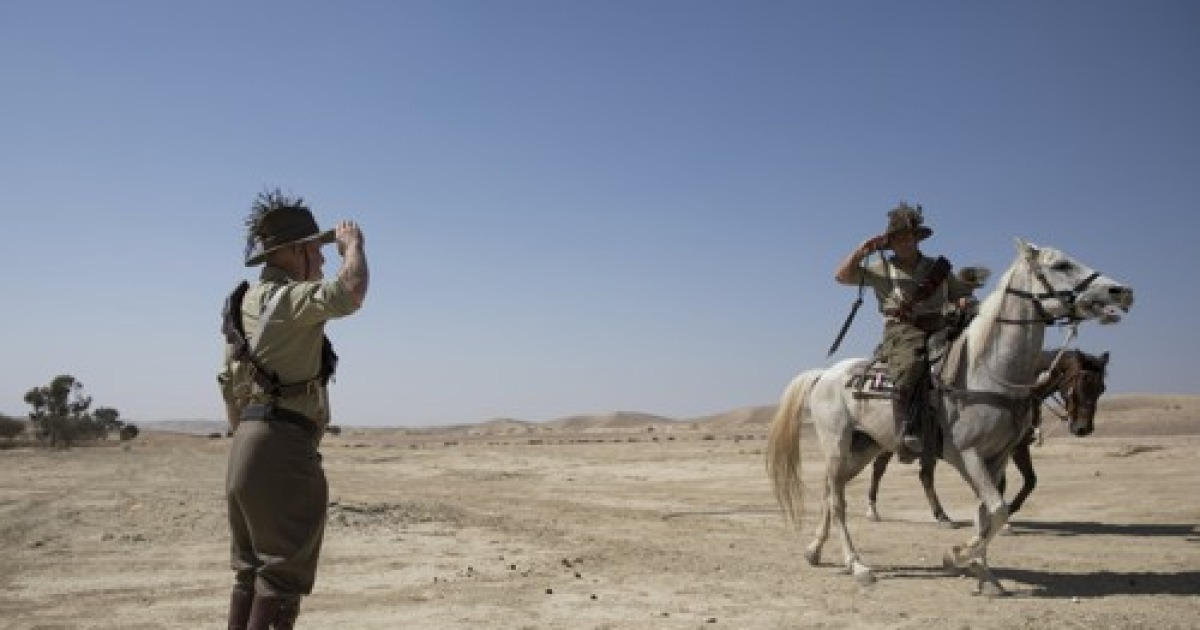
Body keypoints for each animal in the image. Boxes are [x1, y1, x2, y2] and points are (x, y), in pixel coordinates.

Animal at [864, 349, 1110, 526]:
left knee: (916, 474)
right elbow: (1000, 482)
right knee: (885, 470)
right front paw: (1001, 516)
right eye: (1079, 384)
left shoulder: (1016, 447)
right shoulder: (1003, 448)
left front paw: (1006, 512)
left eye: (1101, 388)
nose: (1083, 429)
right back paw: (876, 511)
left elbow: (1029, 481)